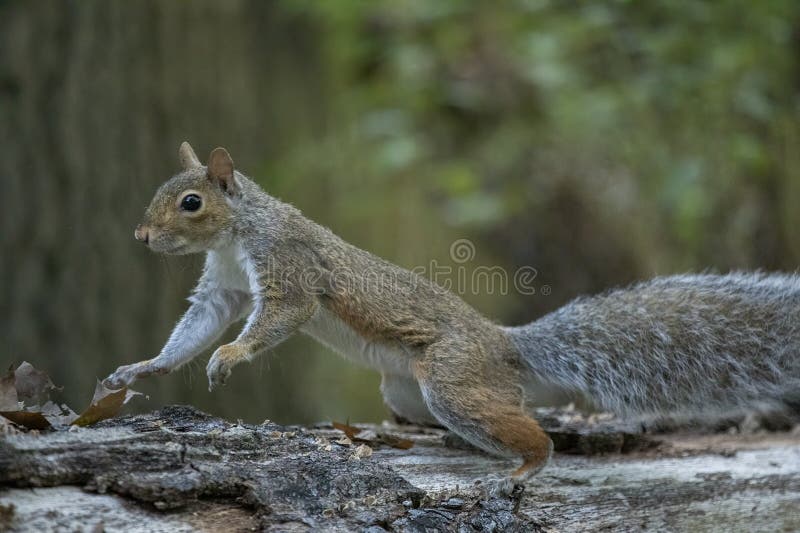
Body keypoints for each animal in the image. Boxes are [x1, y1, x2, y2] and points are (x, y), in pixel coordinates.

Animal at [106, 142, 800, 485]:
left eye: (191, 202)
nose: (140, 237)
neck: (237, 234)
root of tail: (505, 345)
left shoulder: (291, 268)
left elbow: (283, 313)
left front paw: (231, 356)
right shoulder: (222, 288)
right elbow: (195, 329)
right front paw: (140, 370)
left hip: (452, 379)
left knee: (530, 431)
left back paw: (524, 466)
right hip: (405, 390)